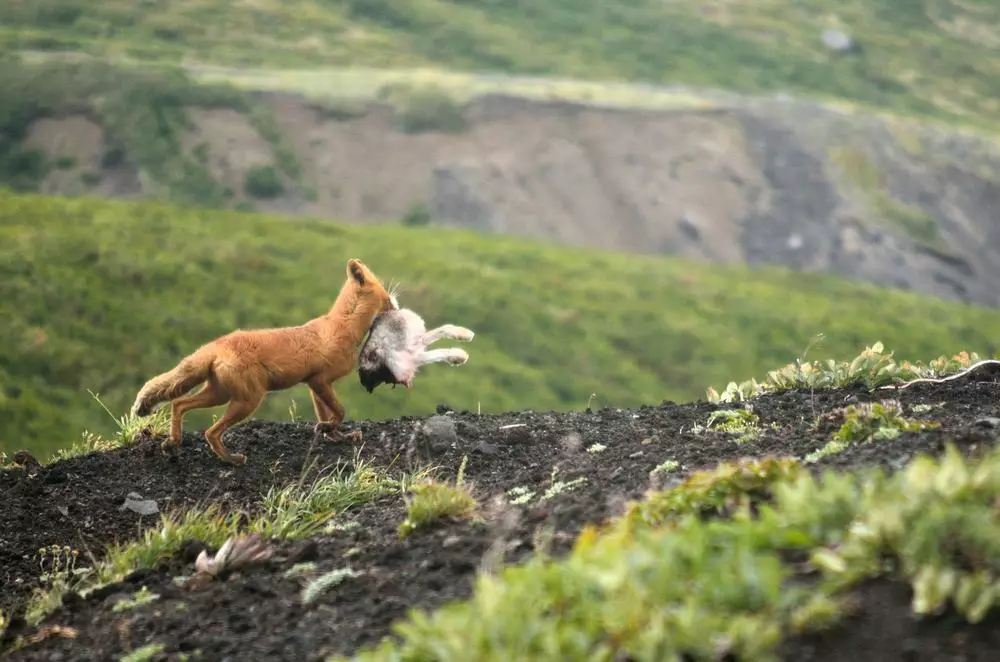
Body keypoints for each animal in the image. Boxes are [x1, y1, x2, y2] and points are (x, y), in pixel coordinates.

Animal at [129, 260, 398, 466]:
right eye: (386, 296)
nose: (397, 307)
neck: (343, 328)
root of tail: (216, 345)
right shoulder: (320, 381)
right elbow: (339, 411)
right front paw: (329, 429)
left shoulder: (314, 385)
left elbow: (327, 415)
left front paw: (334, 435)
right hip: (248, 400)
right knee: (210, 432)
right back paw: (230, 459)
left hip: (220, 395)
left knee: (179, 404)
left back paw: (173, 442)